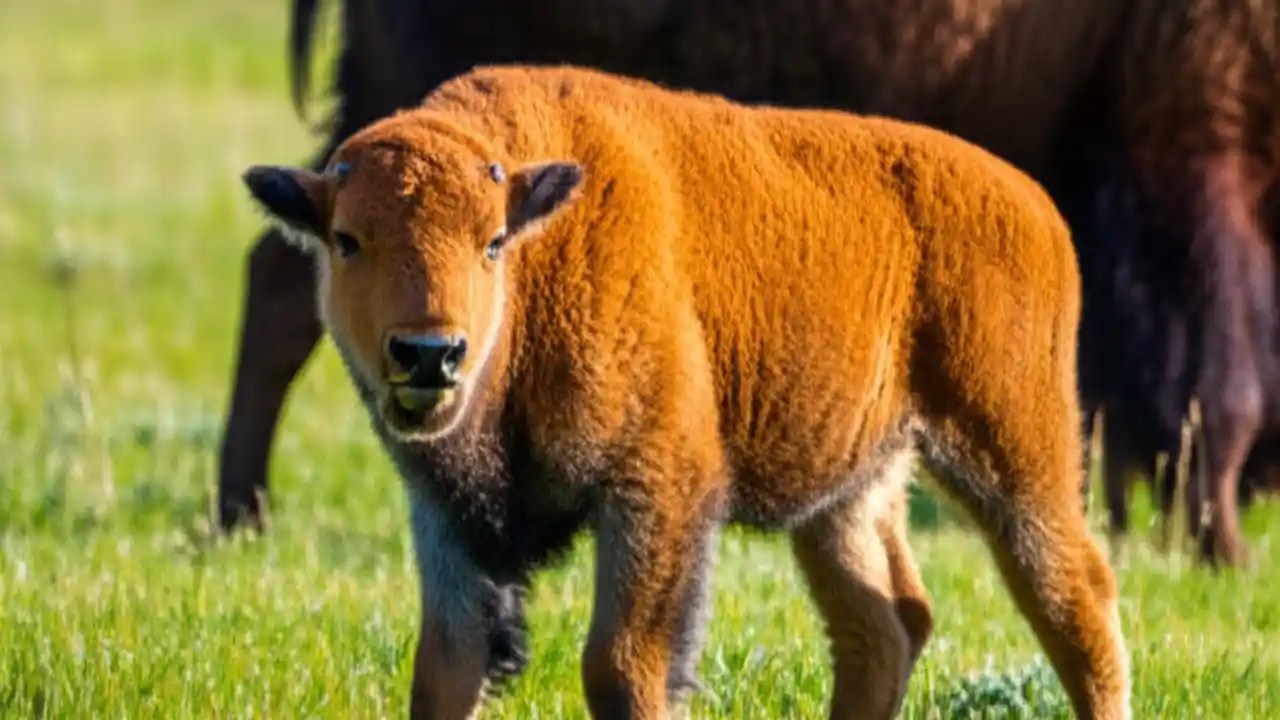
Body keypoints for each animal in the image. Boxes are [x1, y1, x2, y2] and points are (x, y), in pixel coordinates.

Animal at [217, 0, 1279, 568]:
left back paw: (244, 517)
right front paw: (1224, 554)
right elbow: (1217, 381)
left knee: (283, 280)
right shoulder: (1186, 138)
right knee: (294, 289)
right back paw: (242, 518)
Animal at [240, 64, 1130, 720]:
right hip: (848, 491)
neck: (542, 257)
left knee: (1073, 596)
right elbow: (446, 672)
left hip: (1015, 452)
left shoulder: (658, 489)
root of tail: (1032, 203)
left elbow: (621, 667)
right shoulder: (447, 516)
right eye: (347, 240)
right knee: (883, 624)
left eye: (491, 242)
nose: (431, 354)